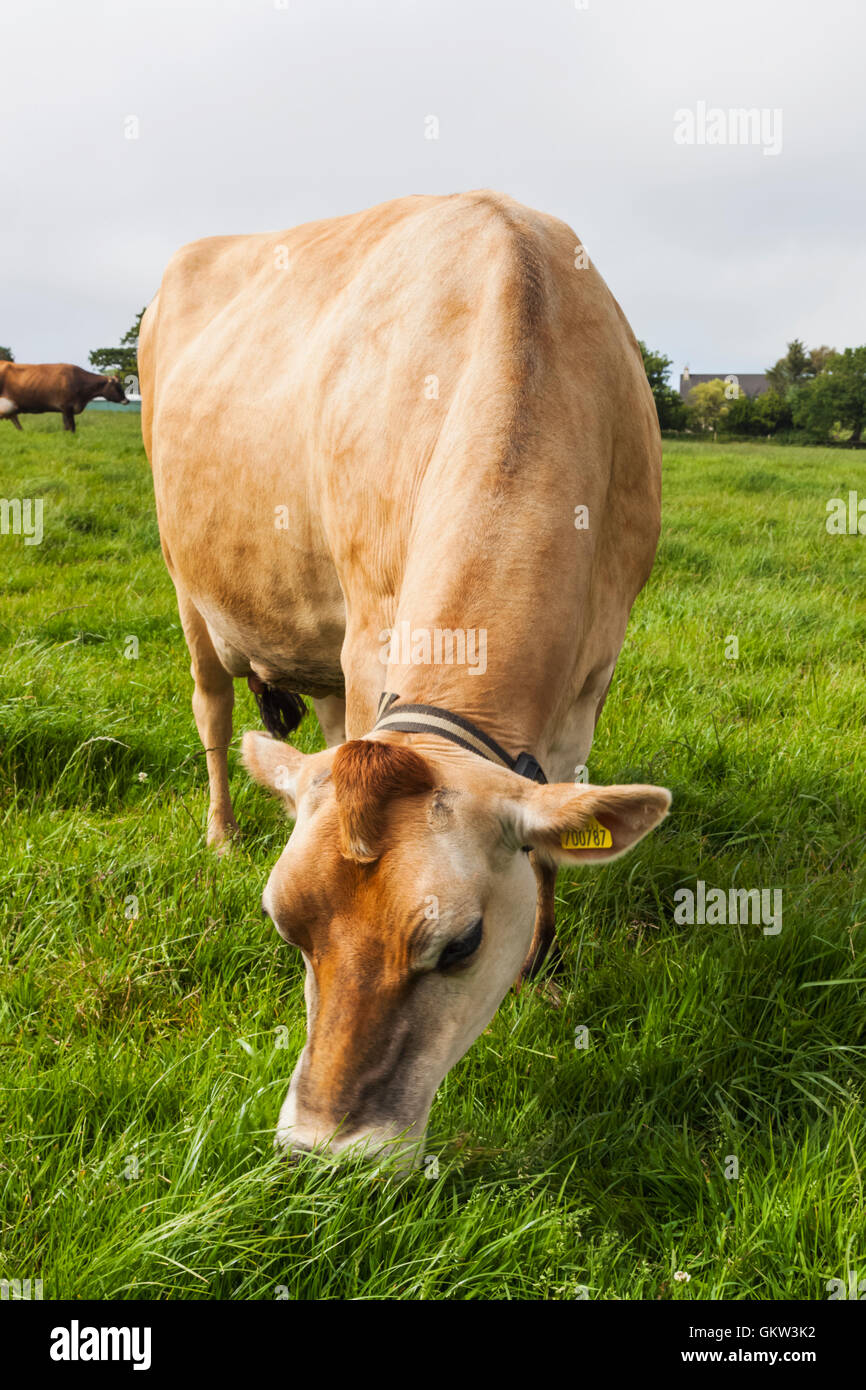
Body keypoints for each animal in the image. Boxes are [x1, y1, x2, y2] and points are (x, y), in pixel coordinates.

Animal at [138, 191, 670, 1166]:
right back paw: (223, 832)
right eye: (285, 925)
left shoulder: (593, 675)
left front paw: (543, 971)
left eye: (461, 945)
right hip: (188, 584)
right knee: (213, 712)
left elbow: (554, 836)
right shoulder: (370, 631)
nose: (323, 1150)